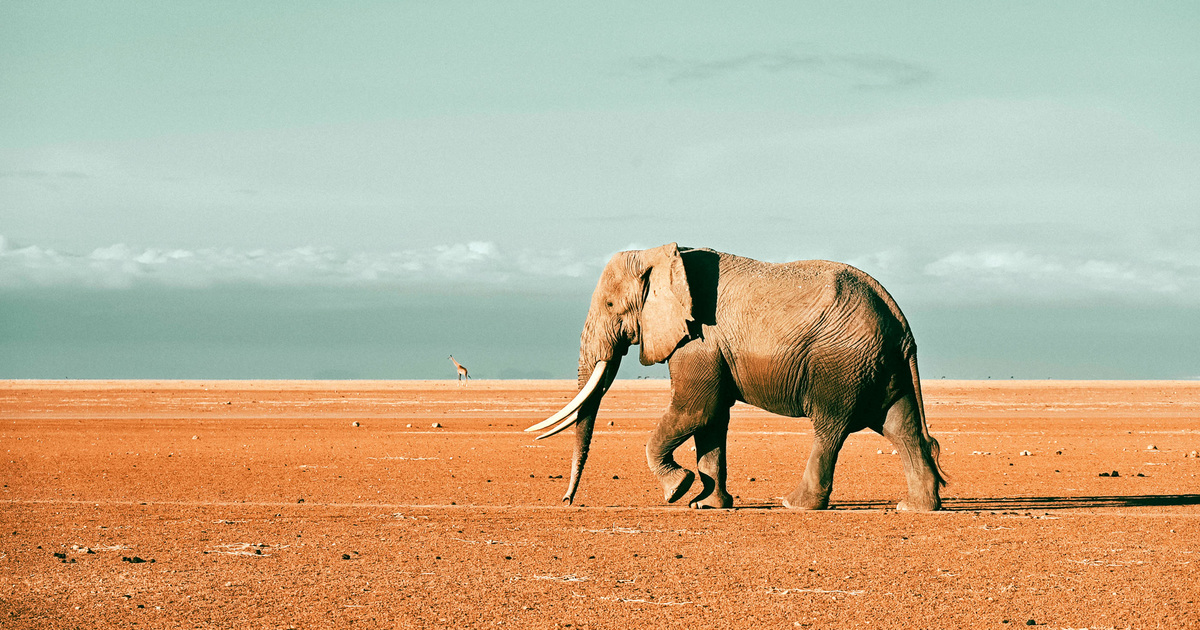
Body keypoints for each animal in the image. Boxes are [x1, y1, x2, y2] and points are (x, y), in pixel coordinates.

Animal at [526, 243, 948, 511]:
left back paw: (795, 505)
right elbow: (712, 419)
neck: (661, 255)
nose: (567, 501)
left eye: (611, 304)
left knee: (831, 428)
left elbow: (696, 409)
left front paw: (677, 491)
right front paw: (706, 504)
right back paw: (915, 507)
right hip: (878, 364)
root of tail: (899, 319)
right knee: (900, 426)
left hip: (842, 362)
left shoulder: (698, 339)